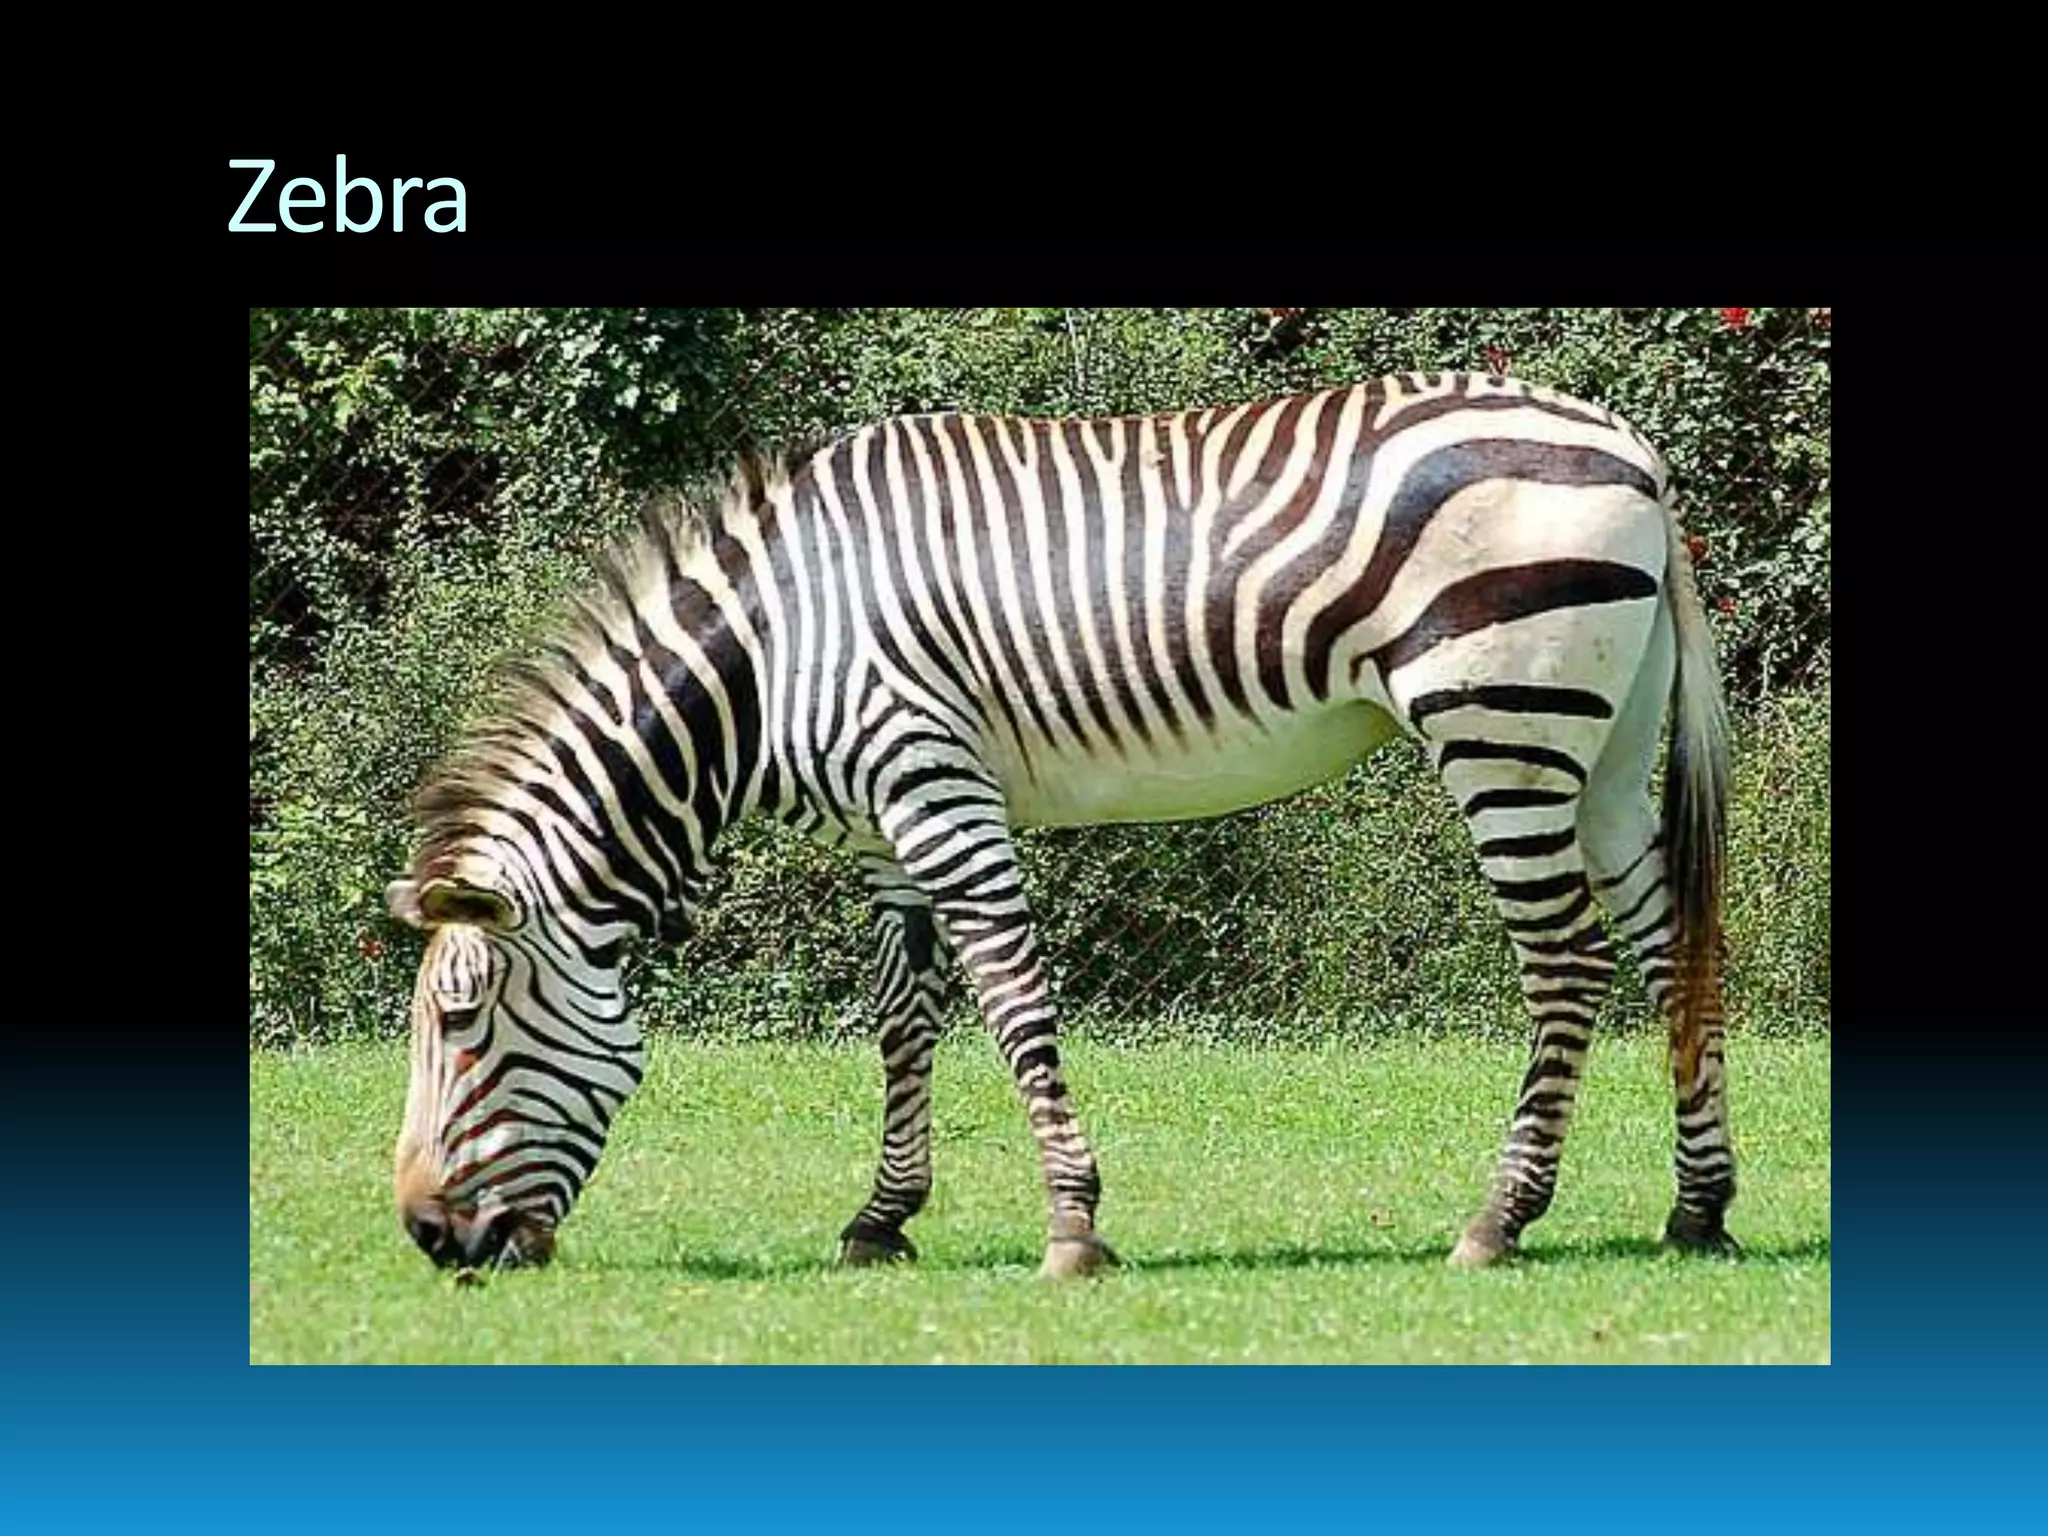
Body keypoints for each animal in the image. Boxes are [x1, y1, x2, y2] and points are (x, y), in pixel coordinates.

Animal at [386, 371, 1736, 1279]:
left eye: (457, 1025)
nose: (424, 1237)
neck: (772, 657)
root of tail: (1628, 444)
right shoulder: (885, 824)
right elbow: (904, 1019)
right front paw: (879, 1220)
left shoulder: (931, 780)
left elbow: (1010, 1001)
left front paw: (1072, 1229)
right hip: (1605, 745)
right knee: (1670, 946)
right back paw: (1699, 1210)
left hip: (1498, 720)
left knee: (1567, 964)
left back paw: (1500, 1219)